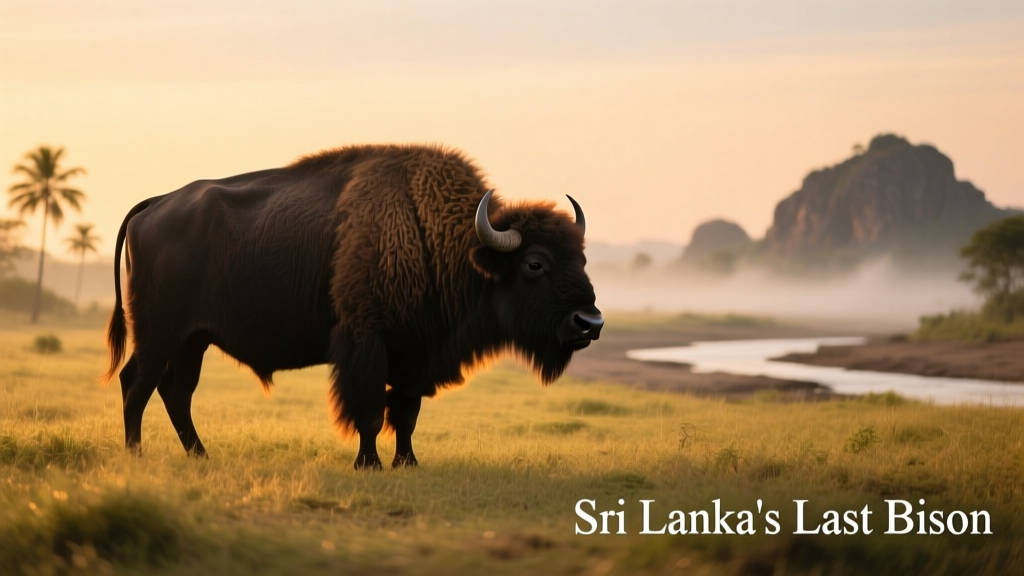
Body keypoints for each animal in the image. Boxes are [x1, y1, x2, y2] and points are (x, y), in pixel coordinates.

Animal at [105, 144, 603, 469]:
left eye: (581, 259)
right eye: (535, 263)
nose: (591, 322)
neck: (439, 240)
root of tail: (155, 205)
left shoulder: (414, 354)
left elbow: (406, 413)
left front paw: (407, 462)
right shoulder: (368, 344)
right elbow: (370, 409)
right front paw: (370, 463)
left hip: (192, 340)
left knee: (175, 392)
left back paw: (200, 455)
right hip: (159, 333)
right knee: (137, 383)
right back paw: (136, 453)